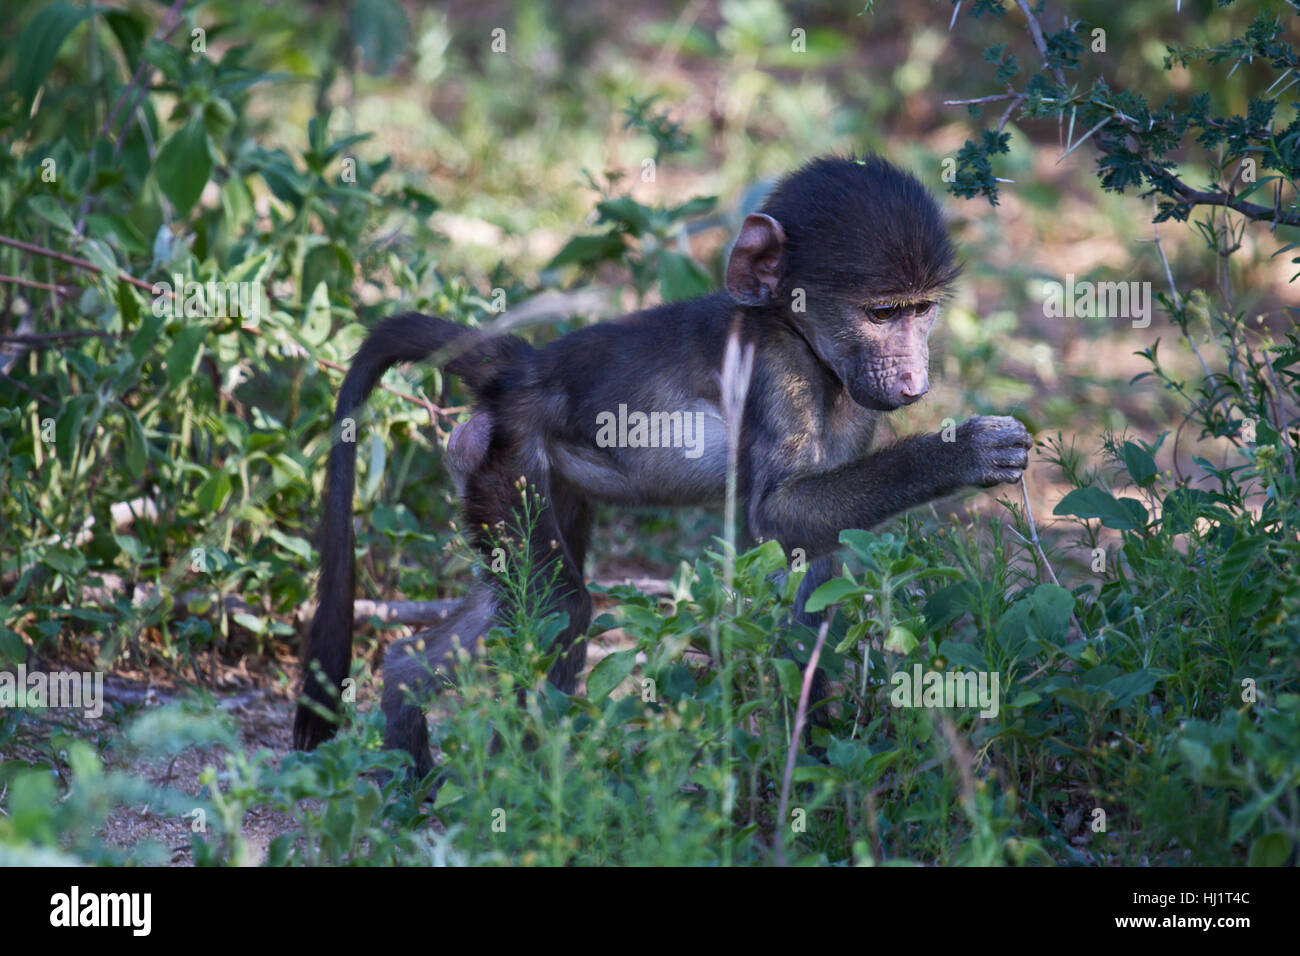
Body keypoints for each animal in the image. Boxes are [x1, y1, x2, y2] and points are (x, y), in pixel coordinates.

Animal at [293, 155, 1032, 778]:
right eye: (881, 313)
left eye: (922, 310)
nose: (914, 381)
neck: (797, 334)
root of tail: (523, 369)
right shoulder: (778, 372)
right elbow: (777, 512)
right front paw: (964, 450)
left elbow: (810, 568)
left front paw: (820, 756)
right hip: (508, 460)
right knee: (564, 607)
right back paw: (527, 784)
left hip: (506, 468)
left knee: (494, 605)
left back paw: (407, 746)